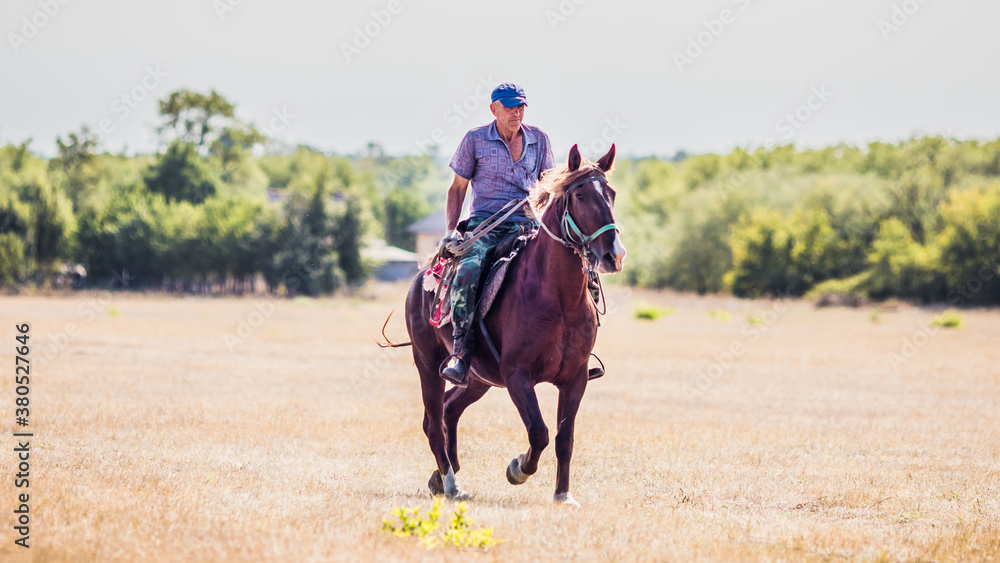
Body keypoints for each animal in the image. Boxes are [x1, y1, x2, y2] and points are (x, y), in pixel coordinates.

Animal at [402, 143, 626, 507]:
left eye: (611, 194)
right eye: (579, 195)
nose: (613, 255)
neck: (558, 300)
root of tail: (424, 276)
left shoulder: (576, 378)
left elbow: (564, 438)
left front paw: (563, 494)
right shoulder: (517, 376)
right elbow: (539, 432)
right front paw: (518, 468)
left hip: (478, 378)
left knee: (450, 410)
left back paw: (442, 474)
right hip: (427, 363)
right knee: (434, 422)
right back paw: (451, 484)